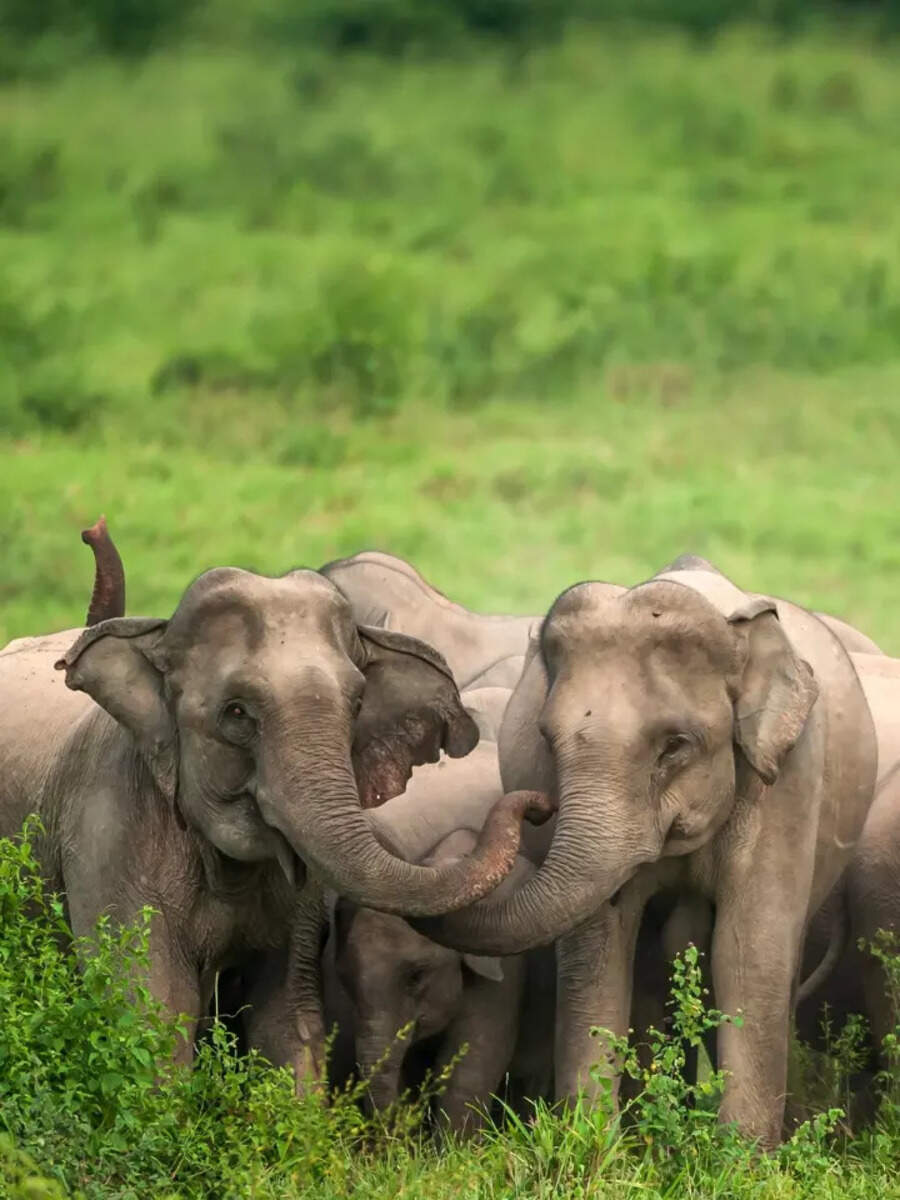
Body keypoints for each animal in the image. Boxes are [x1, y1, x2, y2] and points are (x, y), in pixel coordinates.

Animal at [0, 565, 552, 1078]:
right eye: (236, 712)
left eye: (357, 704)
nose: (538, 803)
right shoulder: (108, 833)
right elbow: (153, 1007)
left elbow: (288, 1020)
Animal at [412, 555, 879, 1148]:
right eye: (546, 738)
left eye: (675, 745)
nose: (534, 807)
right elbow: (601, 946)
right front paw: (594, 1149)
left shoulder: (790, 780)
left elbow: (747, 949)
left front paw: (740, 1159)